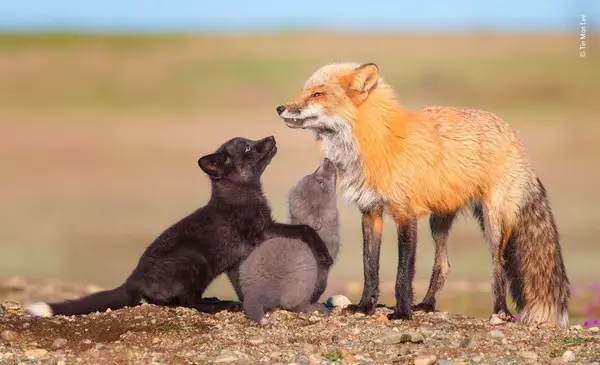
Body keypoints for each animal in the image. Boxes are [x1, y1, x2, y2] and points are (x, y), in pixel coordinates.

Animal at [274, 61, 568, 328]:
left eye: (318, 94)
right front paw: (366, 306)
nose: (280, 108)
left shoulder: (406, 214)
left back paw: (501, 311)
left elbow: (403, 272)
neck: (377, 142)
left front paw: (402, 312)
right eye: (305, 91)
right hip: (439, 220)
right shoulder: (370, 211)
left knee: (499, 264)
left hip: (493, 221)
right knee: (444, 264)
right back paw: (427, 304)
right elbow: (370, 267)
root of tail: (514, 135)